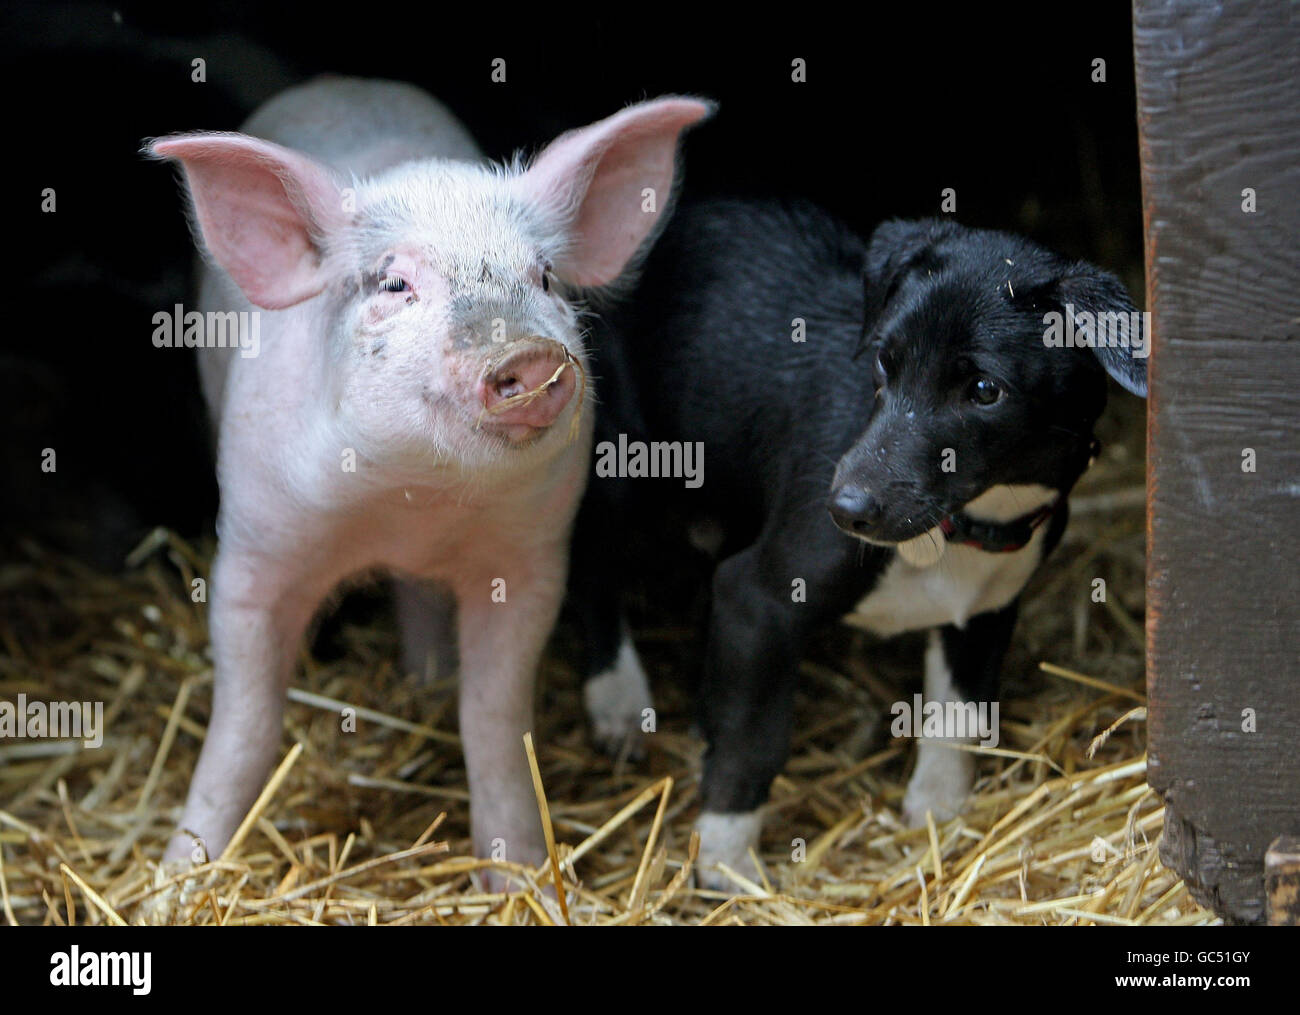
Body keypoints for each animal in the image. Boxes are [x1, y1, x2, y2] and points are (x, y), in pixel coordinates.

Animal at [148, 76, 711, 876]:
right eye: (394, 282)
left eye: (545, 276)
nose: (532, 356)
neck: (412, 501)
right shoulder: (254, 550)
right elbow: (246, 726)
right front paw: (179, 873)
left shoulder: (530, 565)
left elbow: (493, 720)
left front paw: (520, 877)